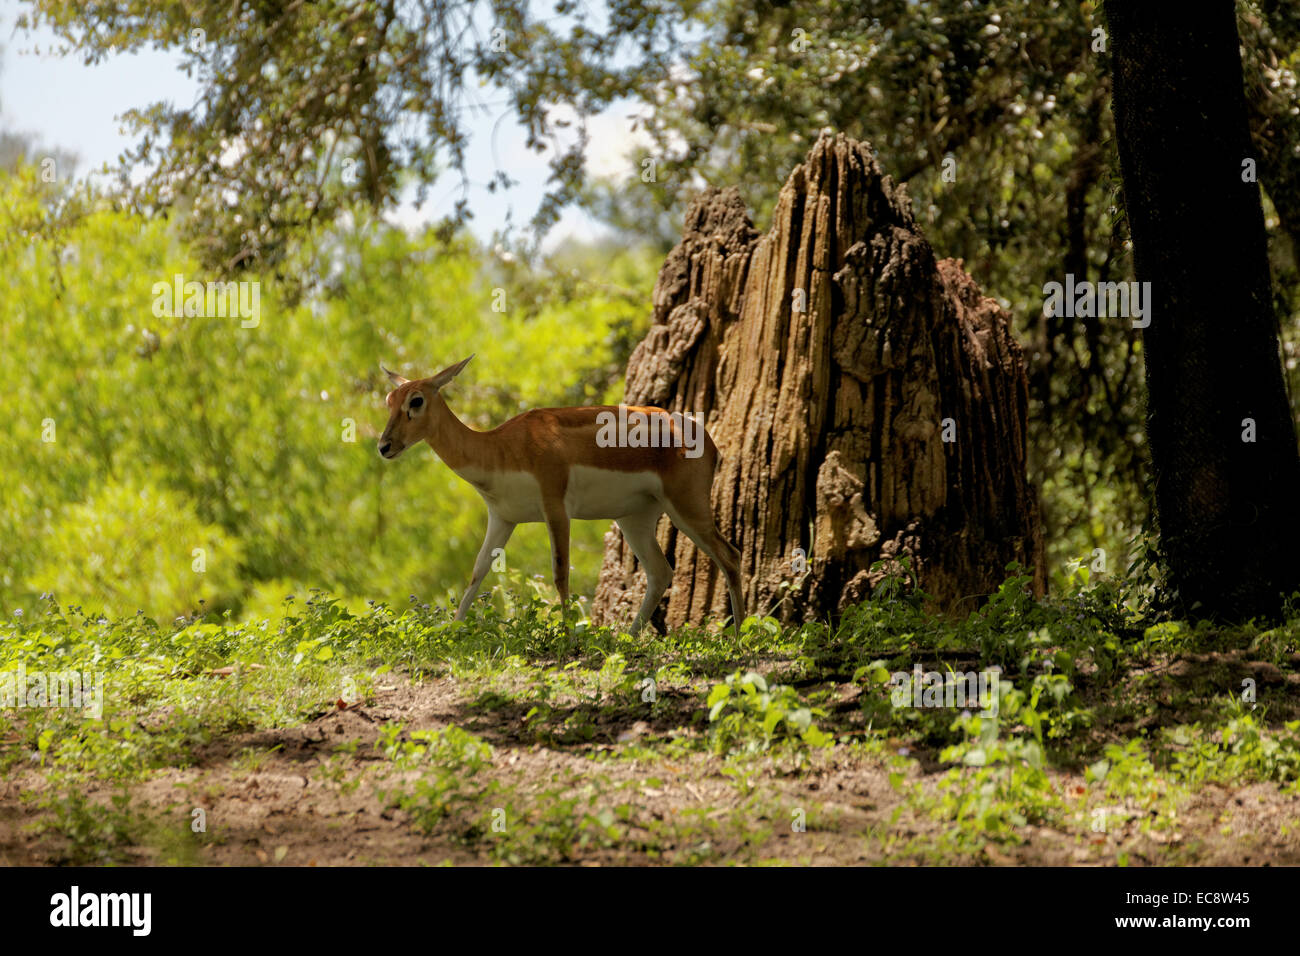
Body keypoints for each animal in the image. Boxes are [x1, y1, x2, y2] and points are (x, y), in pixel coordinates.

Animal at [377, 356, 746, 634]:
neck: (501, 447)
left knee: (730, 555)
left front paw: (568, 636)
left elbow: (559, 571)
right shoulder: (503, 517)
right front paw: (453, 630)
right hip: (635, 518)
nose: (384, 446)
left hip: (687, 505)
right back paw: (626, 638)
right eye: (389, 401)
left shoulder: (555, 507)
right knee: (661, 572)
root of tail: (708, 442)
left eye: (416, 400)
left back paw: (740, 636)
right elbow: (477, 571)